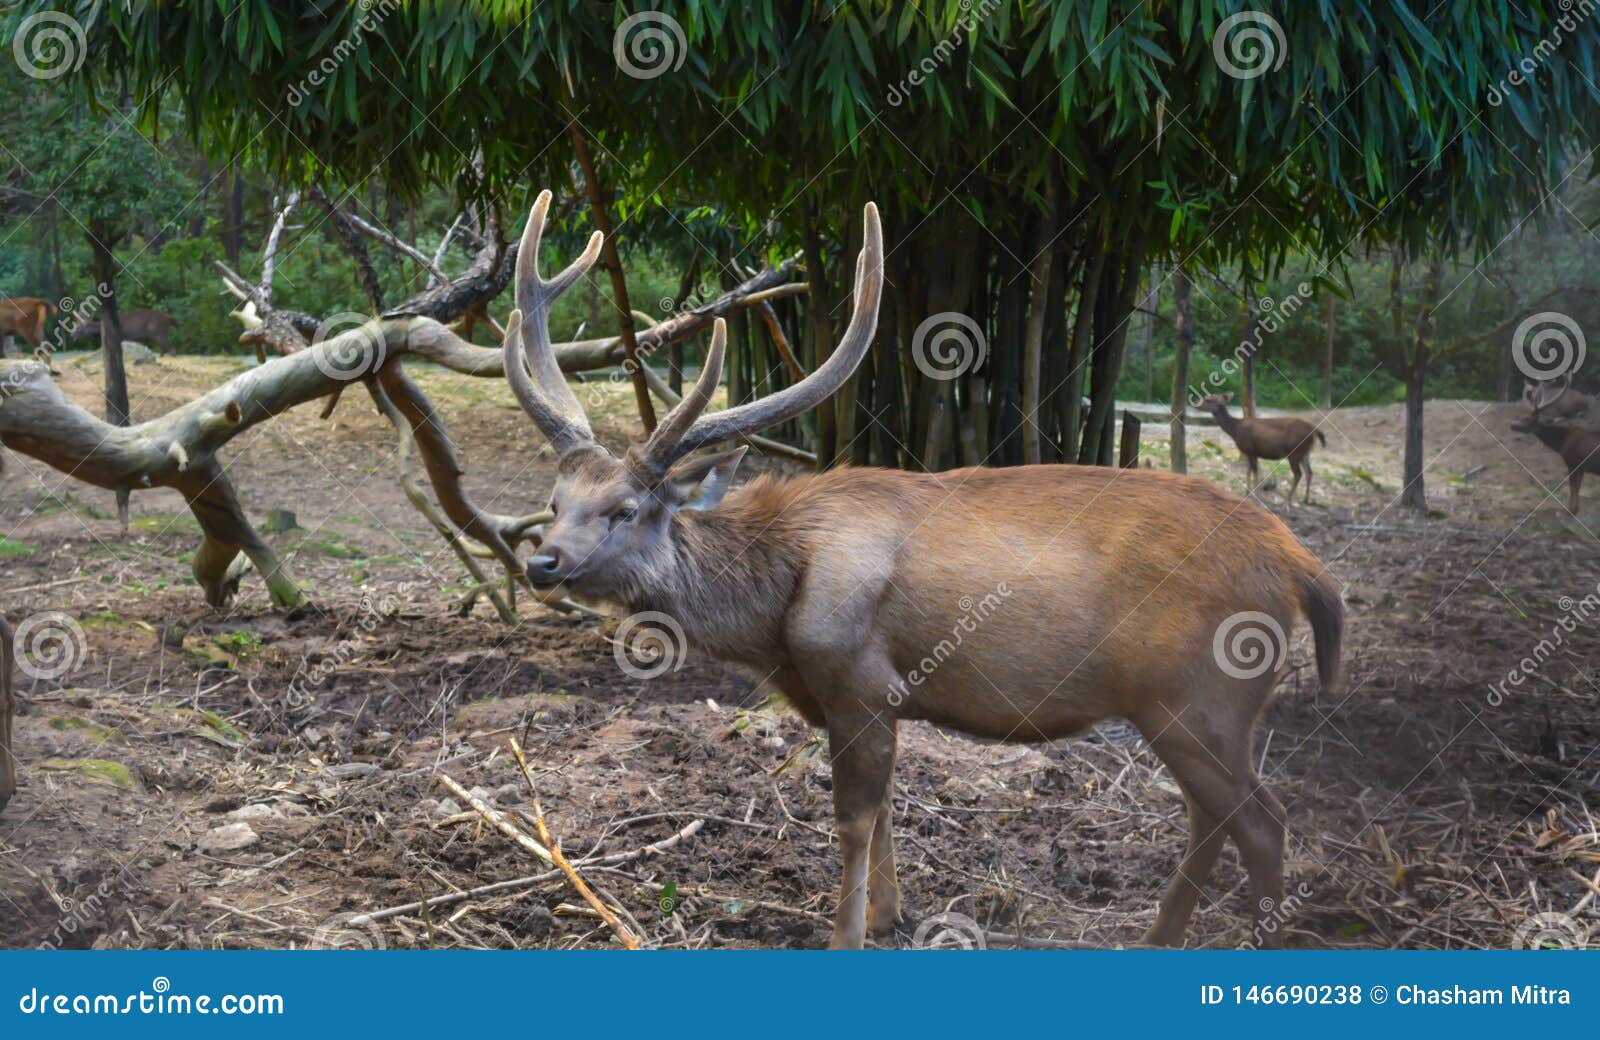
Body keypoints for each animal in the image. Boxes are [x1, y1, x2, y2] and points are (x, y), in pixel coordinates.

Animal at [504, 190, 1343, 949]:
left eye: (625, 509)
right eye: (555, 500)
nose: (542, 560)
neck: (775, 619)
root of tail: (1301, 567)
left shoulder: (860, 679)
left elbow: (853, 818)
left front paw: (846, 936)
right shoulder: (869, 699)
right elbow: (886, 809)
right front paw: (888, 913)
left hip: (1202, 695)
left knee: (1263, 823)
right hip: (1193, 709)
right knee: (1217, 818)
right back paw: (1160, 939)